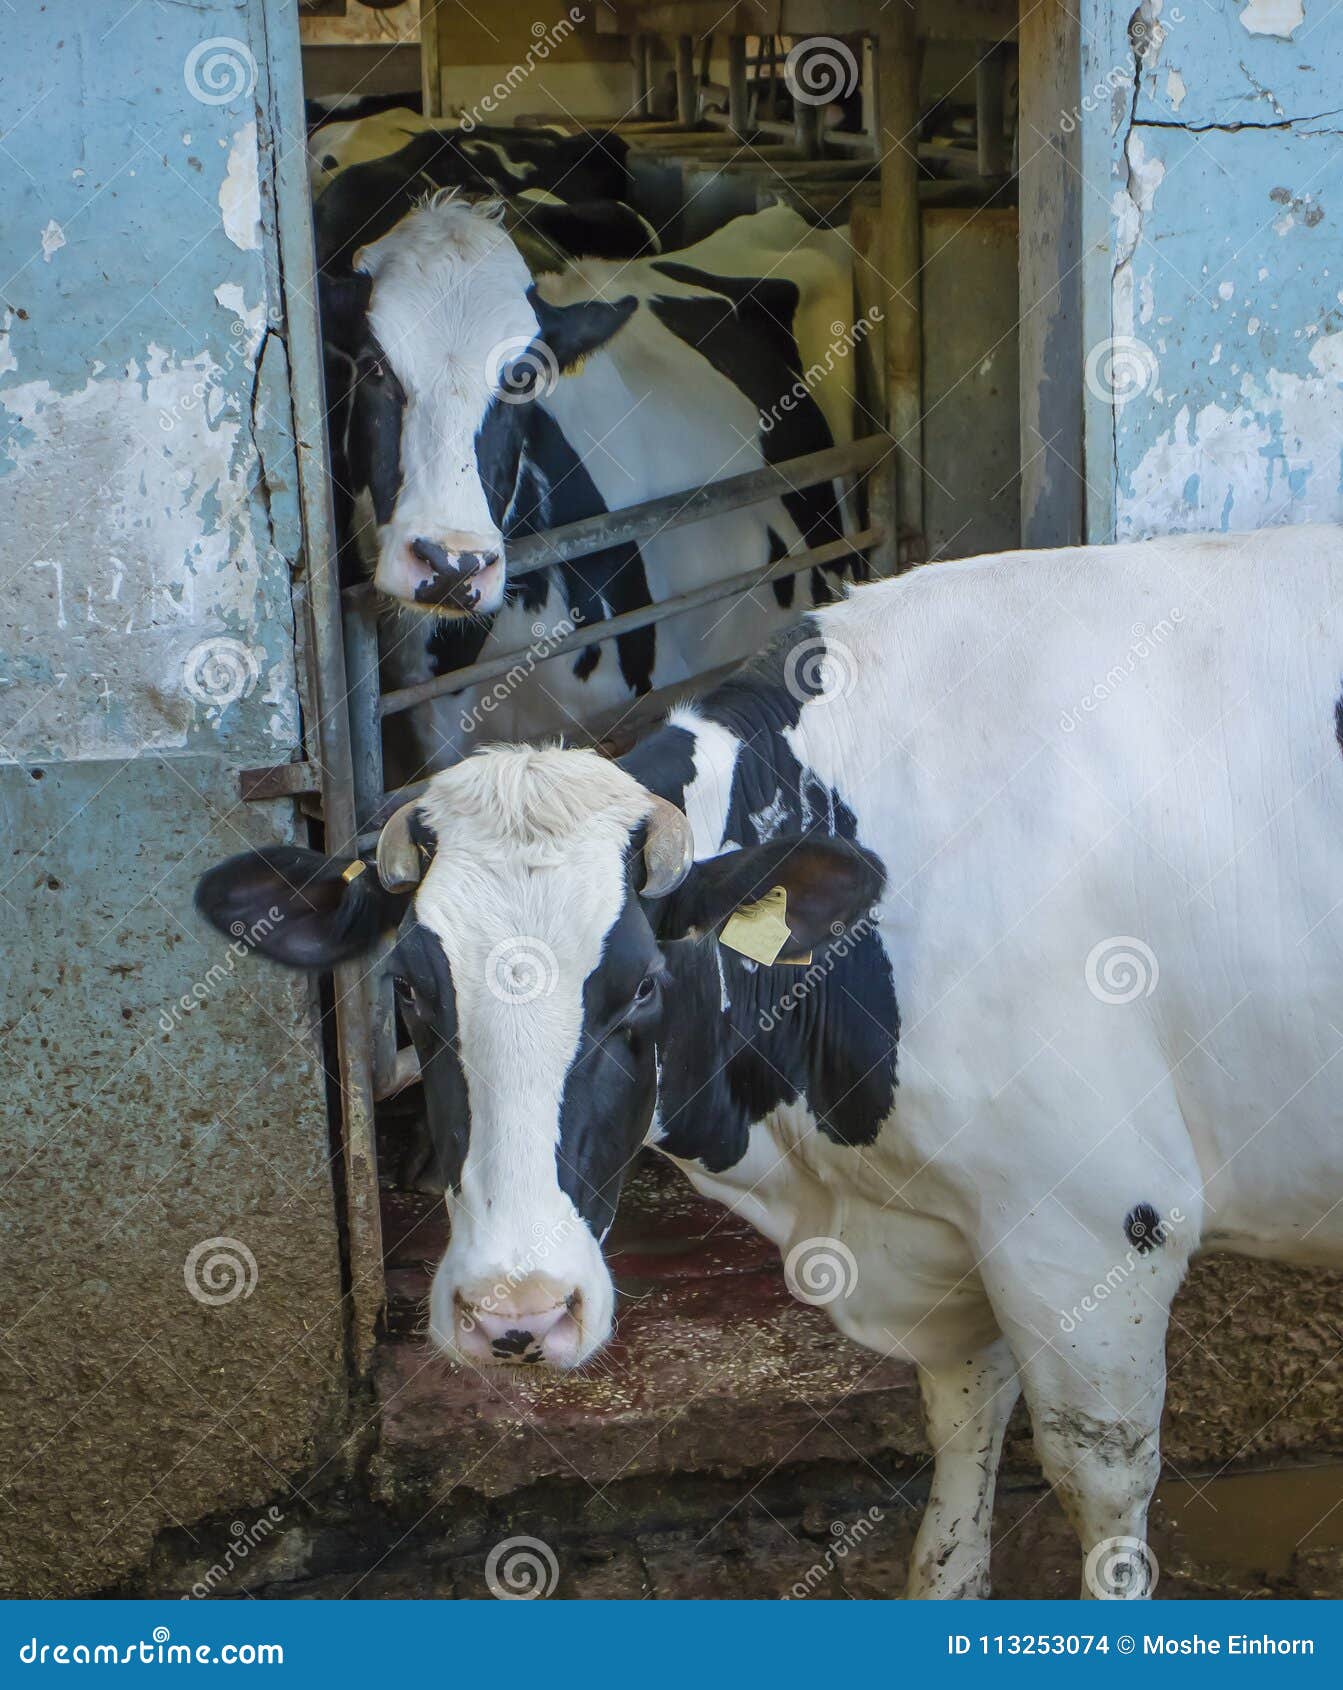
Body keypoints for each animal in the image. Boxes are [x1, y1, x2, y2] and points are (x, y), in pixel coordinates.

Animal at [197, 521, 1343, 1598]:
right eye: (409, 990)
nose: (517, 1312)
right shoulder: (959, 1229)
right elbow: (962, 1434)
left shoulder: (1095, 1225)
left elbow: (1096, 1479)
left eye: (642, 986)